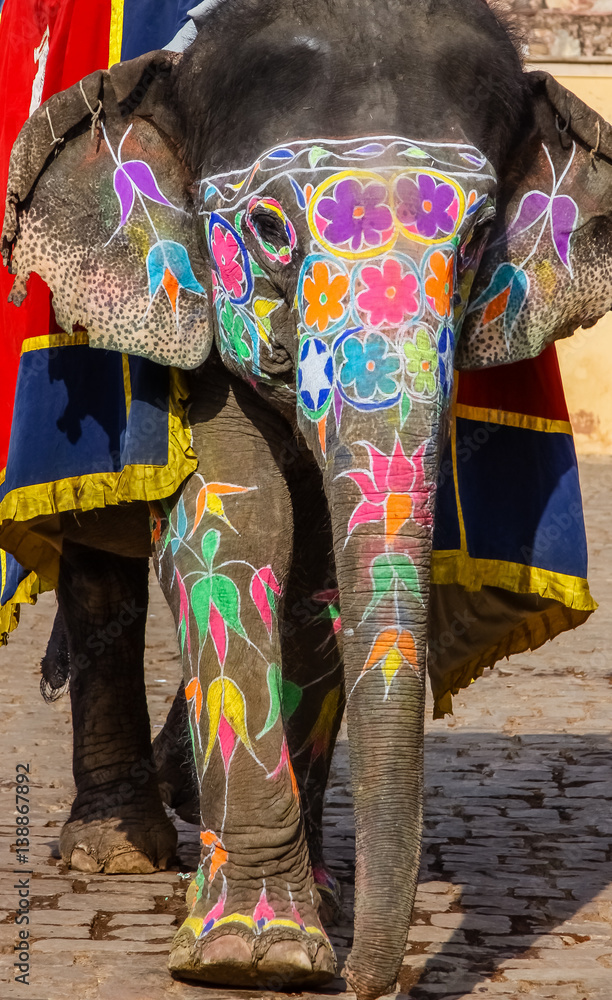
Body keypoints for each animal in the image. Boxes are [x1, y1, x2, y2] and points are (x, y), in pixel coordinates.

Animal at [2, 0, 612, 996]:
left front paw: (317, 911)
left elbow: (324, 562)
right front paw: (260, 954)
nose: (375, 982)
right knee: (99, 568)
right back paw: (117, 849)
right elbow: (239, 521)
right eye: (268, 231)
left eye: (479, 241)